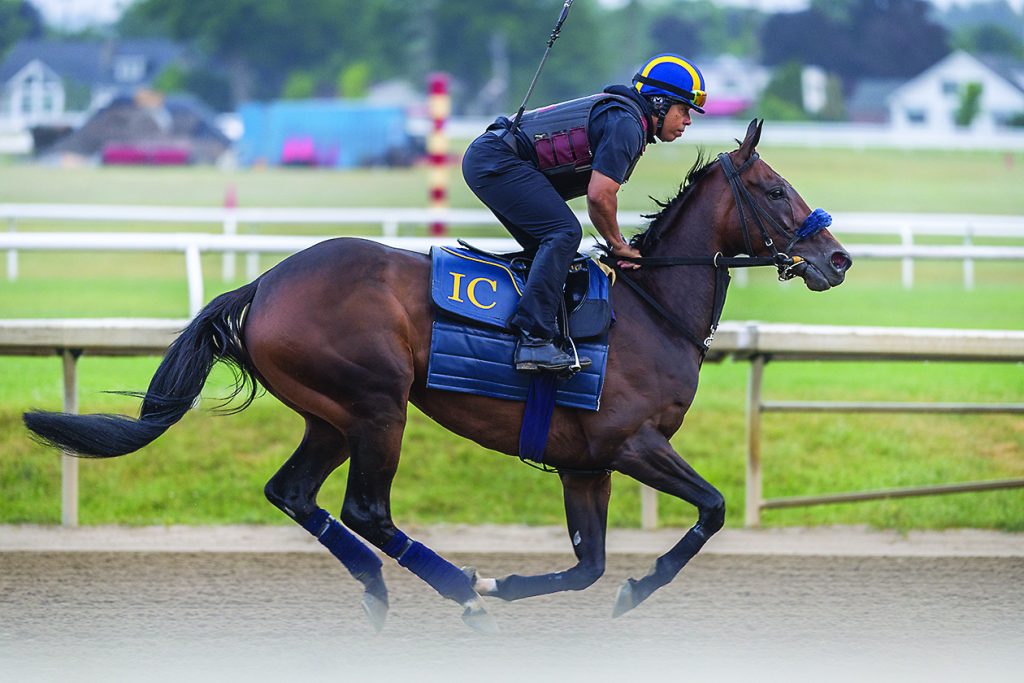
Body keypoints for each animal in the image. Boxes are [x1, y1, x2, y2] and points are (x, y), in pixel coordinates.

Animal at [24, 119, 851, 633]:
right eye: (774, 190)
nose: (837, 258)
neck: (650, 310)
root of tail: (264, 282)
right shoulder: (631, 443)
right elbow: (711, 509)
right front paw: (631, 590)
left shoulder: (584, 465)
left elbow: (587, 565)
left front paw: (514, 584)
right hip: (376, 403)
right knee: (366, 509)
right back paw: (457, 591)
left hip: (330, 414)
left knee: (293, 493)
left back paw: (386, 587)